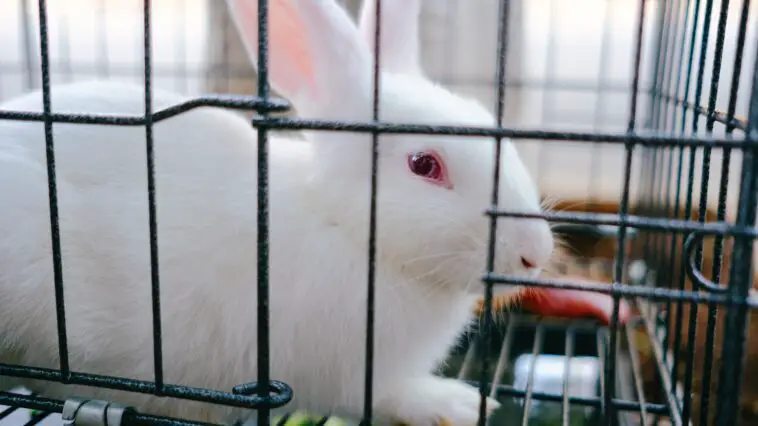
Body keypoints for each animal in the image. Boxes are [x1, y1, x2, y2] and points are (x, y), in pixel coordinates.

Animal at [0, 0, 567, 424]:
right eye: (424, 164)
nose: (534, 256)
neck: (346, 227)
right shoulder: (347, 377)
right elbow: (386, 398)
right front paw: (457, 404)